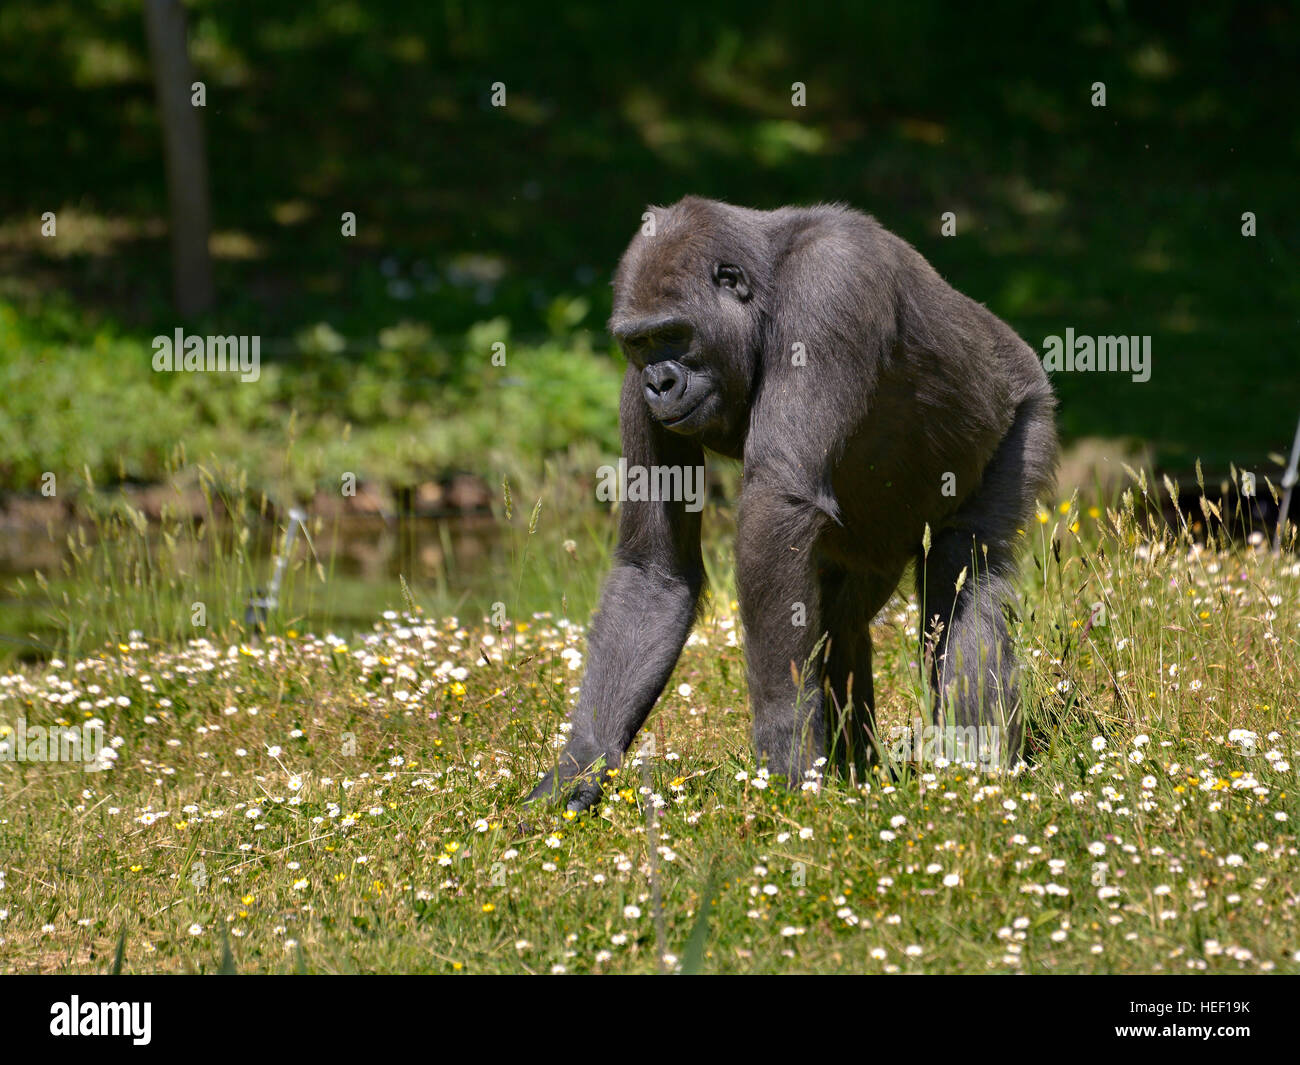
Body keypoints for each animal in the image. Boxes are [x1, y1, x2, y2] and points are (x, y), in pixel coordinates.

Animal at [527, 197, 1057, 811]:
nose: (659, 383)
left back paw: (976, 770)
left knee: (960, 580)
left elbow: (777, 505)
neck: (766, 285)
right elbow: (655, 572)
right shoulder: (633, 392)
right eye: (639, 345)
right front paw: (584, 760)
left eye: (673, 335)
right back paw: (863, 770)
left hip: (1027, 408)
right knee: (841, 616)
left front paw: (783, 749)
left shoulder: (832, 283)